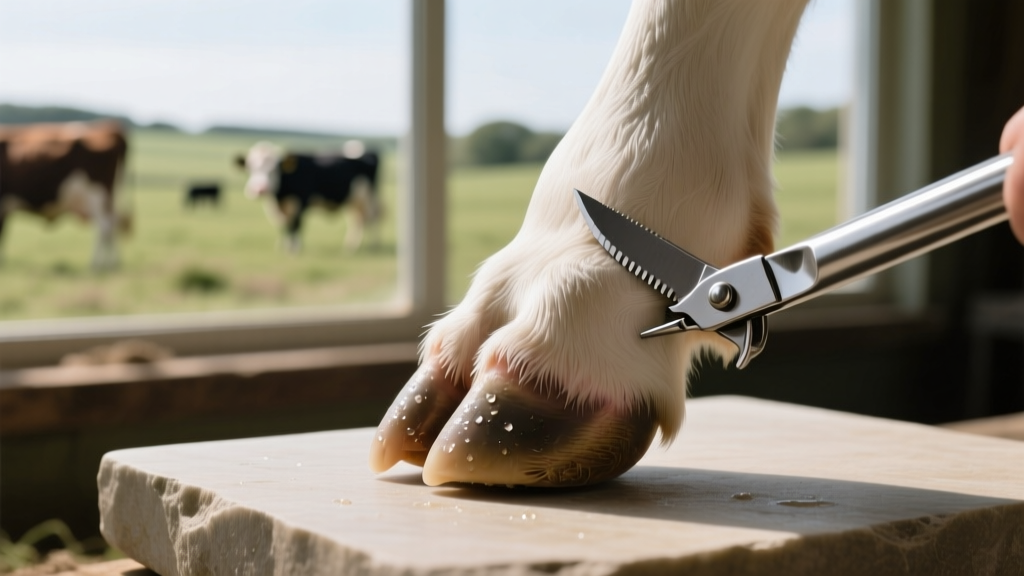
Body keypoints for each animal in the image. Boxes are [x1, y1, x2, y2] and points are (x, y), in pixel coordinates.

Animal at [0, 120, 130, 270]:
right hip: (109, 197)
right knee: (113, 224)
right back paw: (113, 263)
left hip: (97, 195)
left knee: (104, 226)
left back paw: (96, 265)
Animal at [236, 140, 381, 253]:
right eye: (250, 168)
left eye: (274, 169)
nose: (260, 189)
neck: (281, 196)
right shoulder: (280, 208)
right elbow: (284, 224)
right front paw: (283, 247)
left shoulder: (302, 201)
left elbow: (296, 224)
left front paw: (295, 249)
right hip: (354, 200)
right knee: (357, 220)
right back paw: (351, 246)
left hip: (369, 196)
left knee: (372, 217)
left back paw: (373, 246)